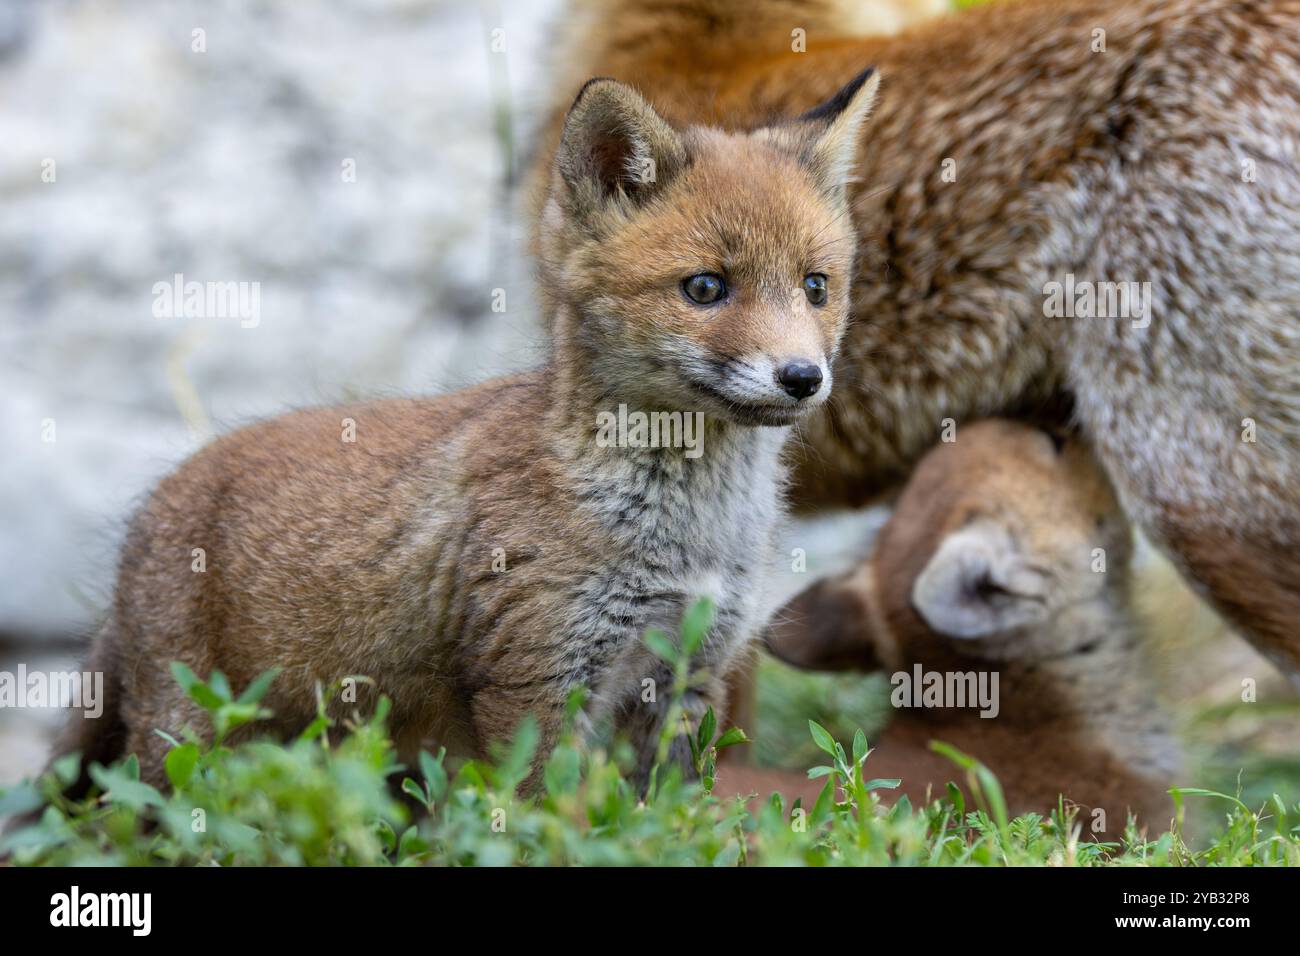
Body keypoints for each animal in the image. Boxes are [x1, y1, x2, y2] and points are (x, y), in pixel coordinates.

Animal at [50, 73, 883, 788]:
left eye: (816, 287)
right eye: (706, 288)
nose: (802, 378)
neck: (687, 533)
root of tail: (164, 491)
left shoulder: (687, 675)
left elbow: (668, 816)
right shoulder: (538, 678)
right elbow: (548, 814)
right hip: (187, 735)